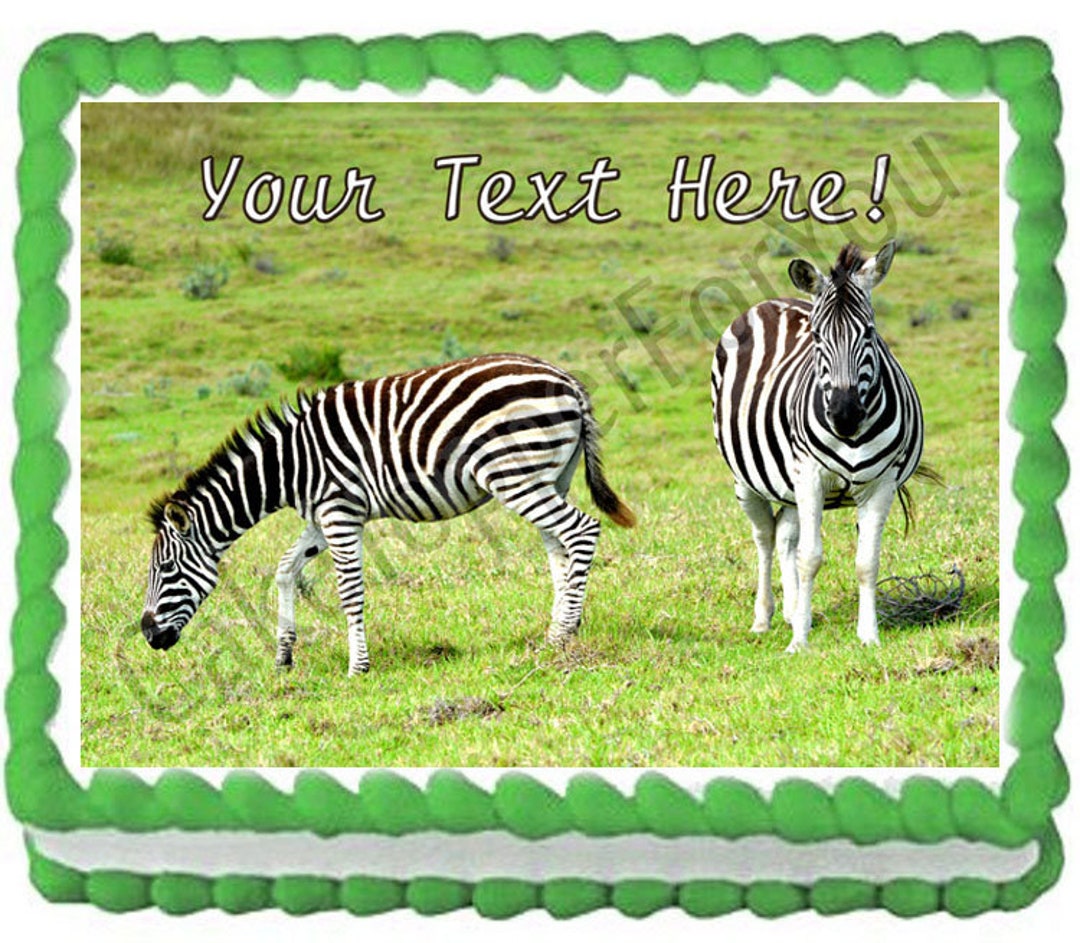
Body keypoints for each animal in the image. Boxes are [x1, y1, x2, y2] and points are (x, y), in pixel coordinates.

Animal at [141, 353, 635, 676]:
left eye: (166, 570)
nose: (147, 635)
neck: (290, 465)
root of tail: (567, 380)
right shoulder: (320, 518)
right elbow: (284, 571)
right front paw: (284, 656)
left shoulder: (340, 512)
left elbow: (349, 592)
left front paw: (357, 666)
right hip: (548, 476)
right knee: (558, 547)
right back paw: (559, 633)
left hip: (515, 475)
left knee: (582, 530)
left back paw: (564, 630)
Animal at [711, 241, 932, 652]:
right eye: (816, 336)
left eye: (870, 333)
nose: (845, 414)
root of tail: (772, 301)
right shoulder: (811, 475)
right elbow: (810, 558)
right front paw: (799, 642)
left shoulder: (881, 484)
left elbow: (867, 562)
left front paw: (868, 635)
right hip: (747, 480)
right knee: (765, 539)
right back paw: (764, 618)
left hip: (791, 484)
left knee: (784, 535)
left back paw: (794, 610)